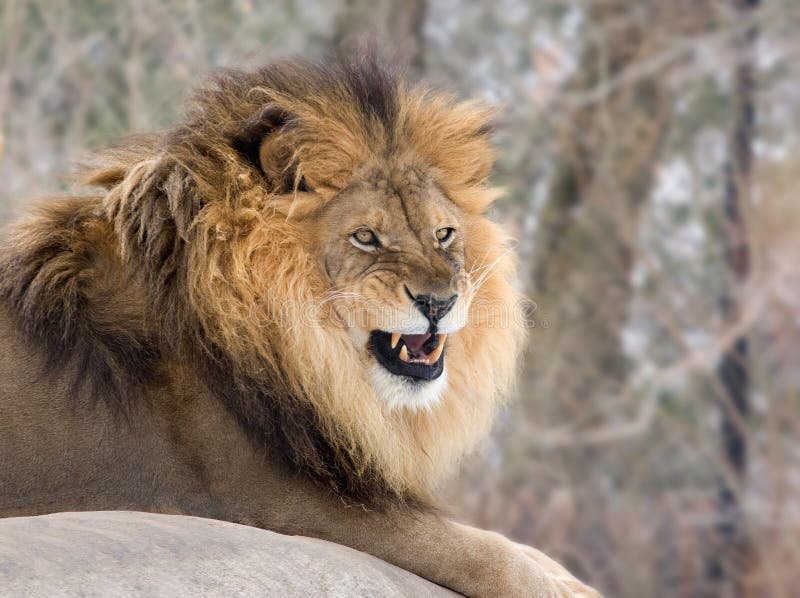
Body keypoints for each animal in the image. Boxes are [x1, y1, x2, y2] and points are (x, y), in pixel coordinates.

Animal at [0, 54, 599, 597]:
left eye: (444, 233)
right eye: (366, 238)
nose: (439, 302)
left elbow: (514, 547)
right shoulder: (270, 500)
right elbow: (479, 550)